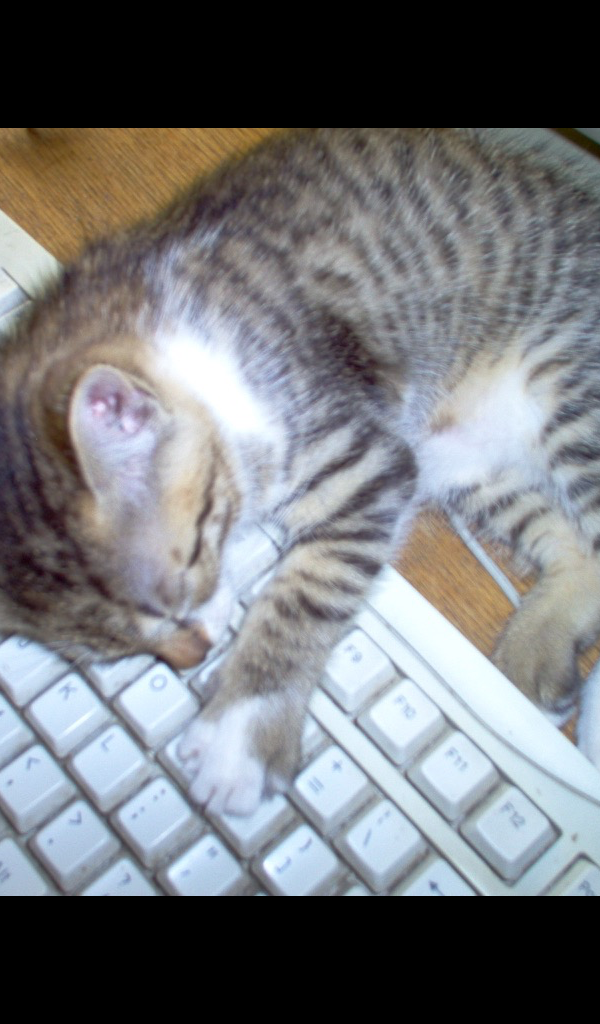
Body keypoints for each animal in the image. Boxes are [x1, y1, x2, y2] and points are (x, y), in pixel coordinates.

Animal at [2, 127, 600, 815]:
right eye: (109, 654)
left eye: (187, 573)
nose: (191, 657)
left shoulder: (366, 461)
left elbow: (307, 591)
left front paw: (241, 733)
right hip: (458, 461)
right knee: (574, 541)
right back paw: (538, 645)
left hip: (568, 388)